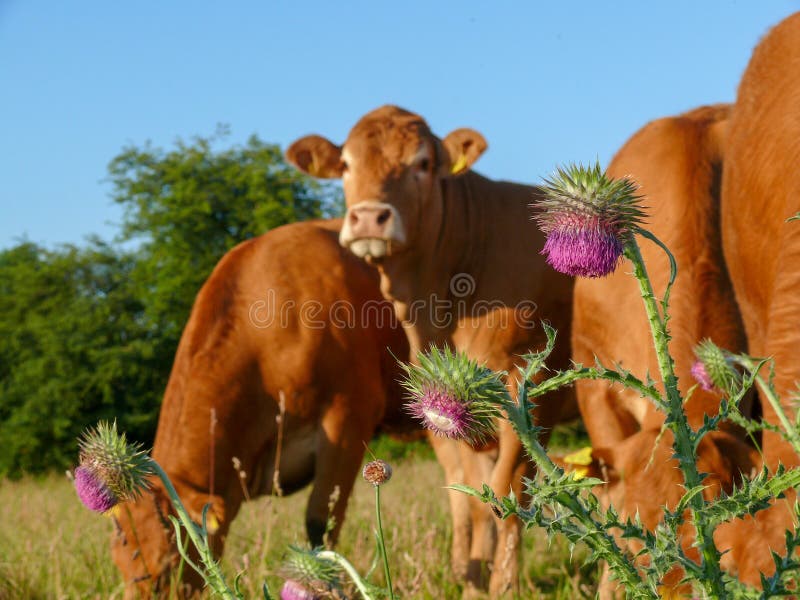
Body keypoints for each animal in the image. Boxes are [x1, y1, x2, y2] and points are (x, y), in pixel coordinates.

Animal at [287, 105, 577, 597]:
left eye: (422, 163)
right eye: (345, 165)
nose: (369, 217)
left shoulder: (530, 381)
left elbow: (508, 494)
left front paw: (502, 586)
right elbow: (474, 502)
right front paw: (472, 584)